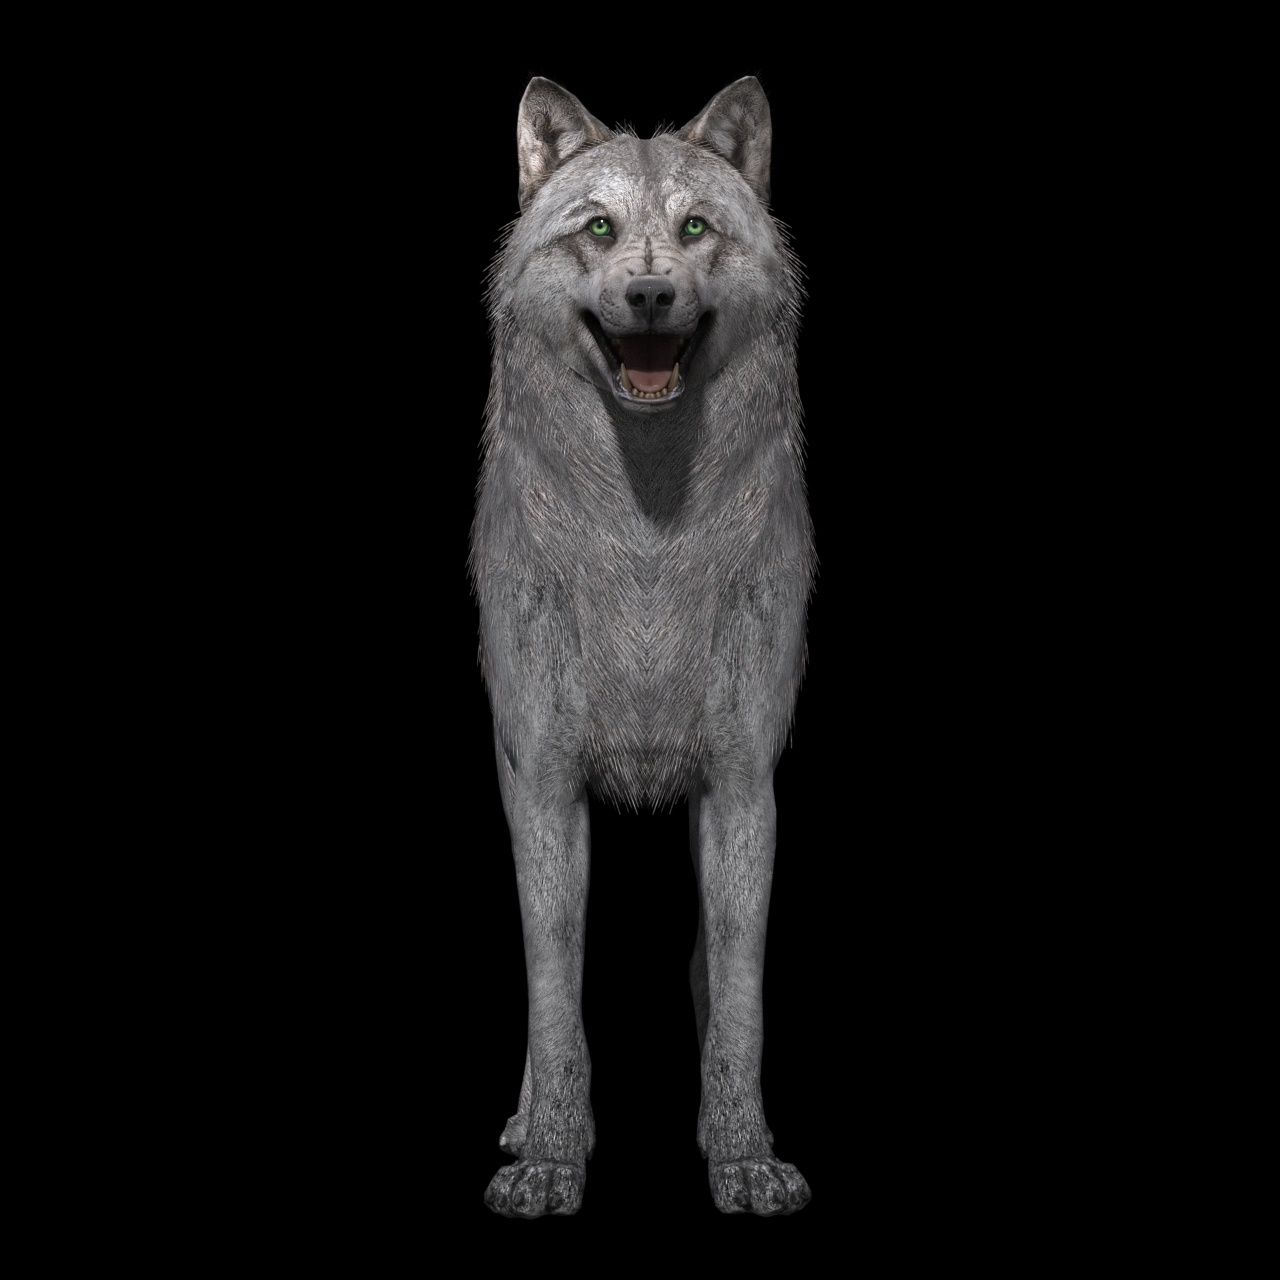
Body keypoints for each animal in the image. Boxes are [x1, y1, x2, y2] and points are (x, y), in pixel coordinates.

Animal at [470, 75, 816, 1218]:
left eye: (695, 228)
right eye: (598, 231)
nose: (654, 295)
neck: (647, 543)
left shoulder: (742, 787)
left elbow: (741, 996)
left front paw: (744, 1155)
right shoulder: (541, 785)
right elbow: (552, 997)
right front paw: (548, 1157)